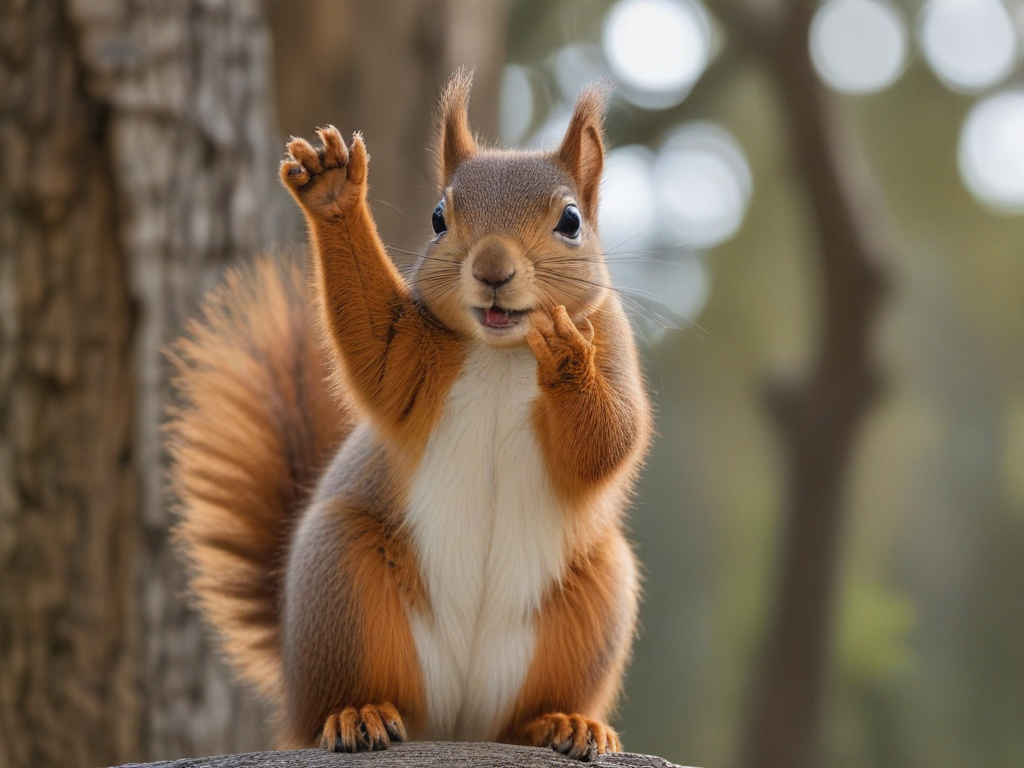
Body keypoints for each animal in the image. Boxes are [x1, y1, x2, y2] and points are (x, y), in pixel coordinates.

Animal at [167, 70, 652, 760]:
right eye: (438, 218)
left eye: (571, 221)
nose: (492, 270)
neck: (504, 352)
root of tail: (456, 723)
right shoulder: (414, 360)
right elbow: (377, 351)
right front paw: (334, 190)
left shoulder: (613, 343)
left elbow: (613, 436)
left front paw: (565, 353)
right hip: (343, 581)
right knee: (345, 698)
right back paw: (357, 714)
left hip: (594, 599)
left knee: (529, 712)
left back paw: (563, 723)